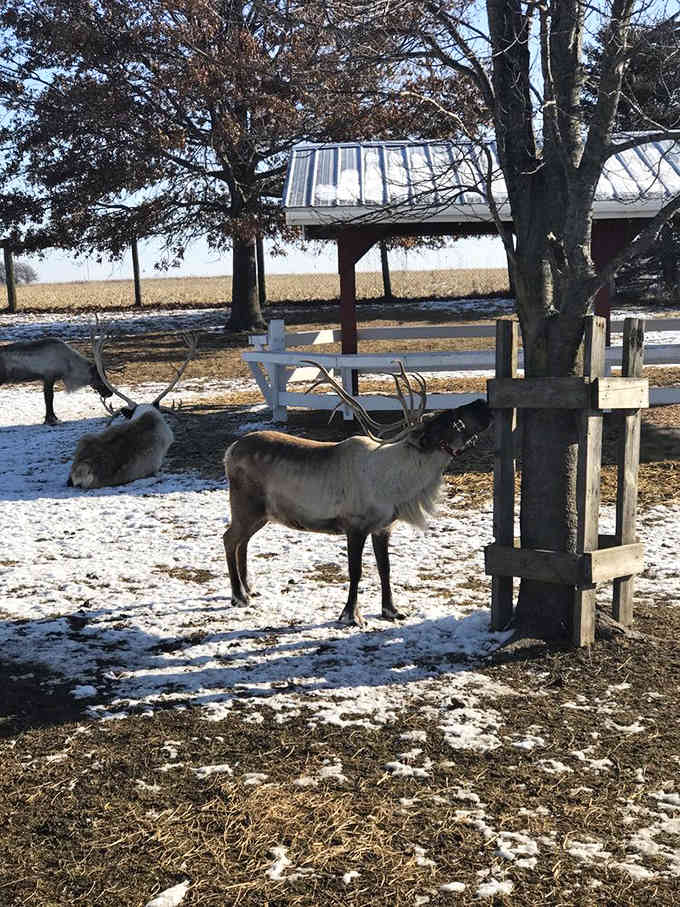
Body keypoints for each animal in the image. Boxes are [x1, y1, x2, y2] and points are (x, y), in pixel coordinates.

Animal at [223, 363, 492, 627]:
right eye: (449, 420)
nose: (482, 402)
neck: (399, 483)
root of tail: (230, 451)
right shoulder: (355, 526)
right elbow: (356, 571)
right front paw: (351, 615)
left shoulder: (383, 527)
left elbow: (385, 569)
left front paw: (391, 610)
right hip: (246, 507)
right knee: (229, 539)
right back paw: (238, 596)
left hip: (262, 515)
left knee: (243, 541)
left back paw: (249, 589)